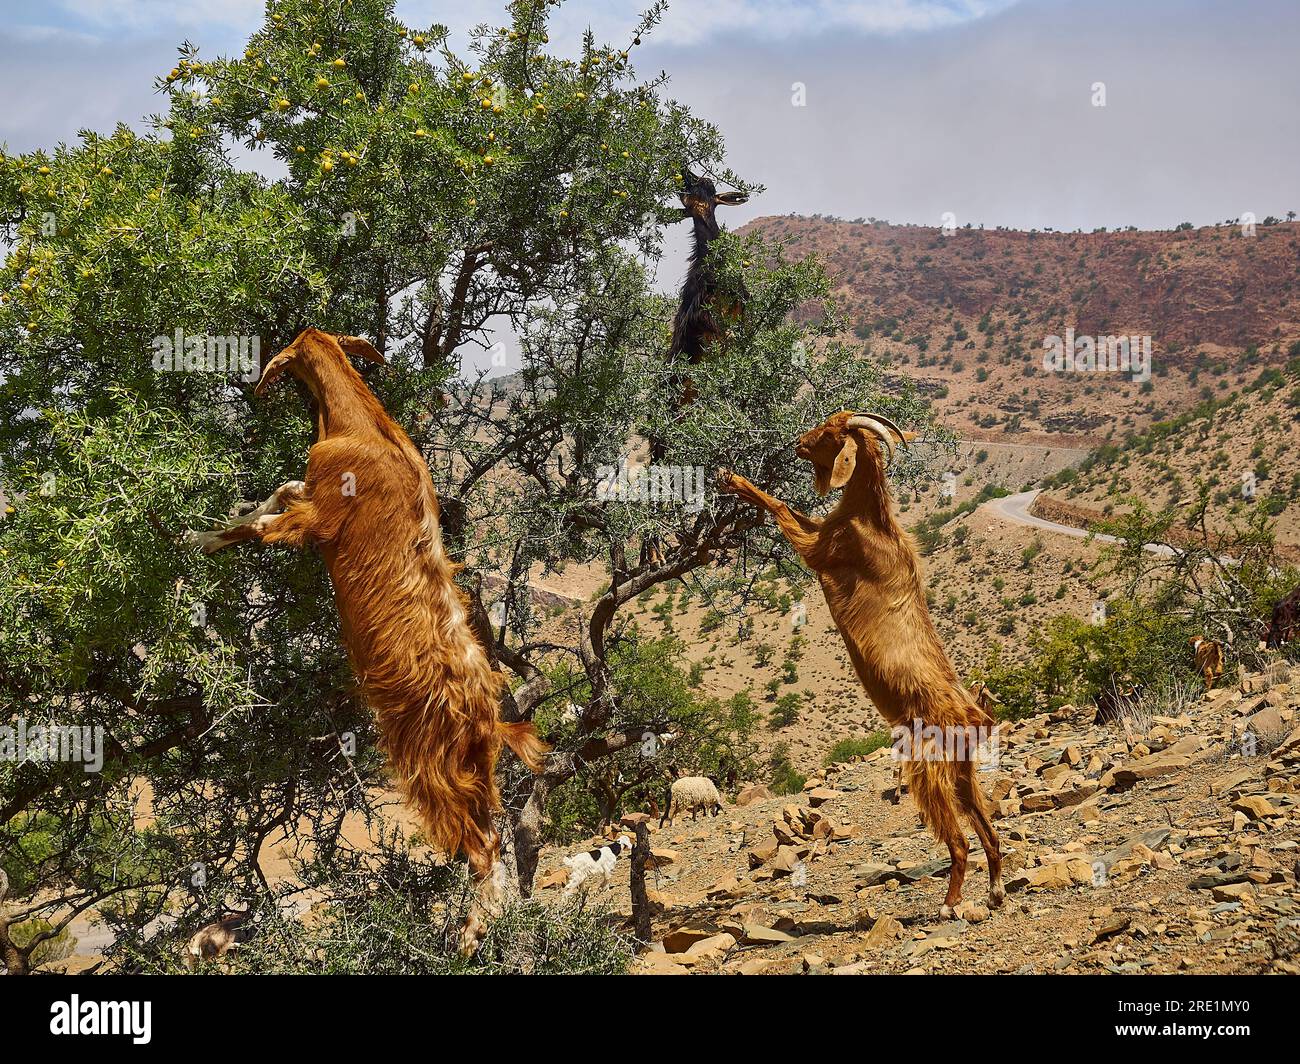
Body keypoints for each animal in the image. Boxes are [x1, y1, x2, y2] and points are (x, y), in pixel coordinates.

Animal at [184, 328, 547, 952]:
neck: (362, 431)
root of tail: (487, 714)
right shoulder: (308, 494)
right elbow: (281, 489)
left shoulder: (316, 521)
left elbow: (263, 522)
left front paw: (199, 537)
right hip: (477, 772)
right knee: (495, 839)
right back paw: (486, 926)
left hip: (433, 765)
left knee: (479, 848)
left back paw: (469, 934)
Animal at [718, 411, 1003, 918]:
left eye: (831, 431)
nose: (798, 442)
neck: (869, 517)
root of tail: (975, 716)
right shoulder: (824, 532)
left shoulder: (821, 548)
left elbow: (780, 507)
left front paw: (733, 480)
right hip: (963, 772)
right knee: (988, 833)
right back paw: (994, 892)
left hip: (927, 768)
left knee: (959, 841)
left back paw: (950, 903)